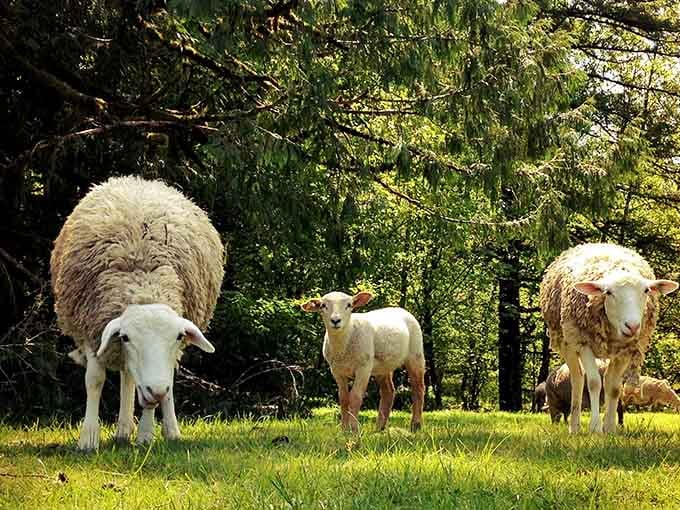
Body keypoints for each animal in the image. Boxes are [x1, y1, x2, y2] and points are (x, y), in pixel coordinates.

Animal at [50, 176, 224, 450]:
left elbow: (157, 391)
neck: (143, 282)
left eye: (178, 336)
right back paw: (123, 430)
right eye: (126, 337)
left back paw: (167, 430)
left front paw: (145, 435)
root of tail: (139, 180)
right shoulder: (91, 327)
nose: (156, 389)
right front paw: (88, 438)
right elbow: (95, 379)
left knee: (158, 377)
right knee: (129, 374)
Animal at [301, 291, 425, 432]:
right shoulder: (337, 371)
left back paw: (416, 425)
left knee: (418, 388)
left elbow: (355, 397)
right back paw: (380, 428)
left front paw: (354, 429)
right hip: (383, 366)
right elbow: (343, 399)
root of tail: (401, 310)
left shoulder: (363, 368)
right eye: (323, 306)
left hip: (415, 354)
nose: (336, 321)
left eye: (349, 305)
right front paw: (344, 429)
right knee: (388, 391)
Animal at [539, 243, 678, 434]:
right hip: (567, 341)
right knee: (578, 379)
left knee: (606, 379)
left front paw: (610, 428)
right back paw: (574, 426)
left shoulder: (626, 350)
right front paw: (595, 428)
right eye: (609, 292)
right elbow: (594, 383)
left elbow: (614, 388)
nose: (632, 326)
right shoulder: (584, 343)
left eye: (646, 290)